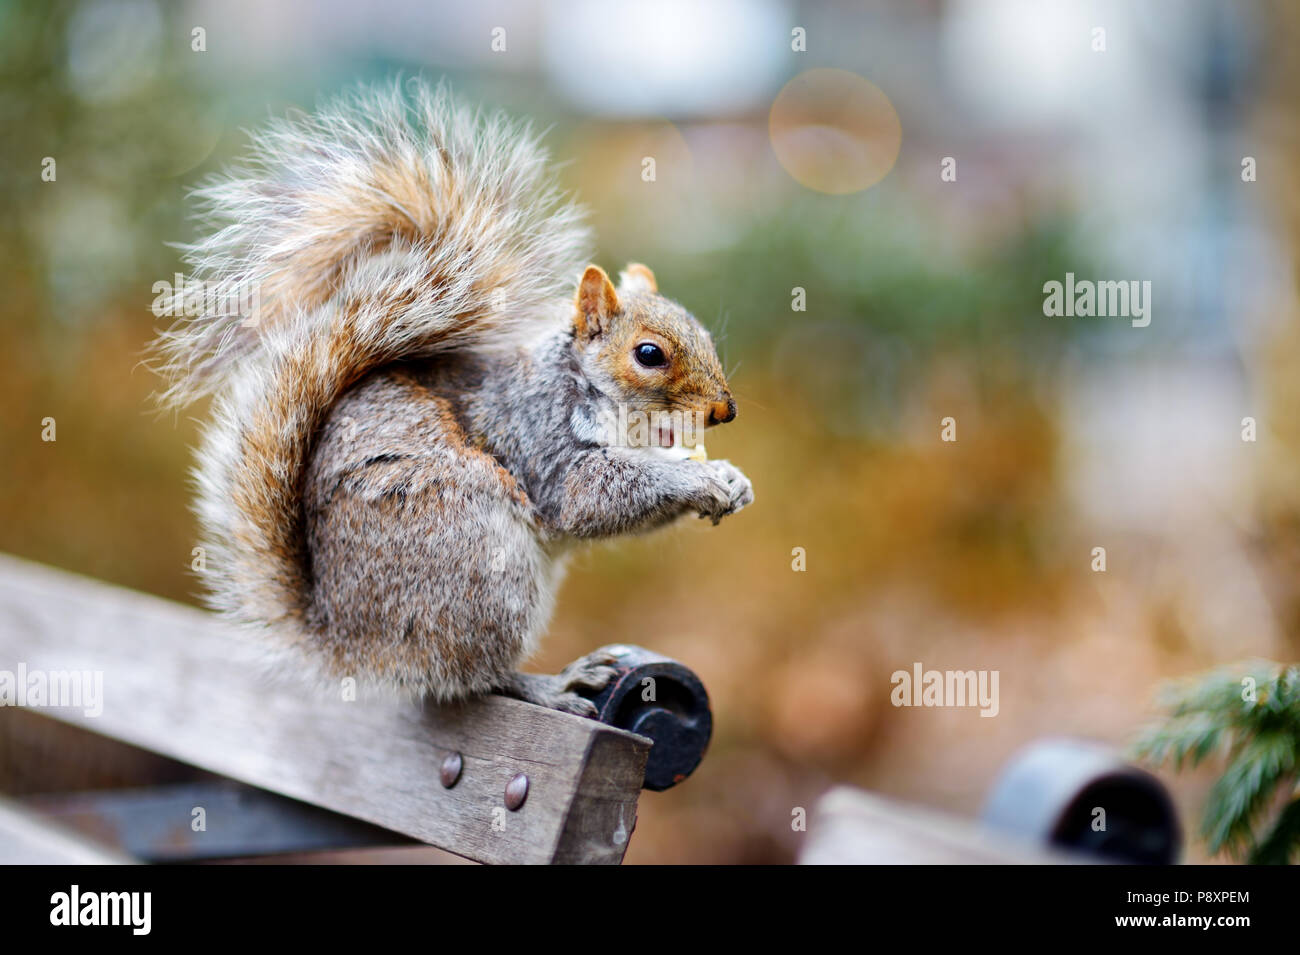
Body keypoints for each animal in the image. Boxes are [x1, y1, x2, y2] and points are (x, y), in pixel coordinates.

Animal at [151, 81, 753, 716]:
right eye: (648, 354)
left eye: (704, 333)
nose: (724, 411)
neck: (597, 401)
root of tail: (352, 643)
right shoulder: (537, 436)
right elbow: (588, 499)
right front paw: (697, 479)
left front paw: (730, 478)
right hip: (479, 561)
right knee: (469, 676)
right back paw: (551, 684)